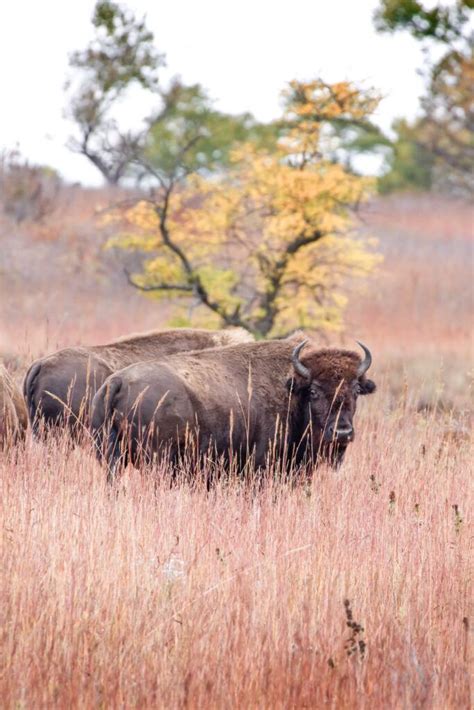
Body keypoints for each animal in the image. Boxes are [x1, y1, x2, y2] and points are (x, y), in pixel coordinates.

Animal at [91, 335, 376, 477]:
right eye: (314, 391)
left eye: (356, 390)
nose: (342, 433)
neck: (292, 389)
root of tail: (117, 381)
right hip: (156, 460)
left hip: (112, 458)